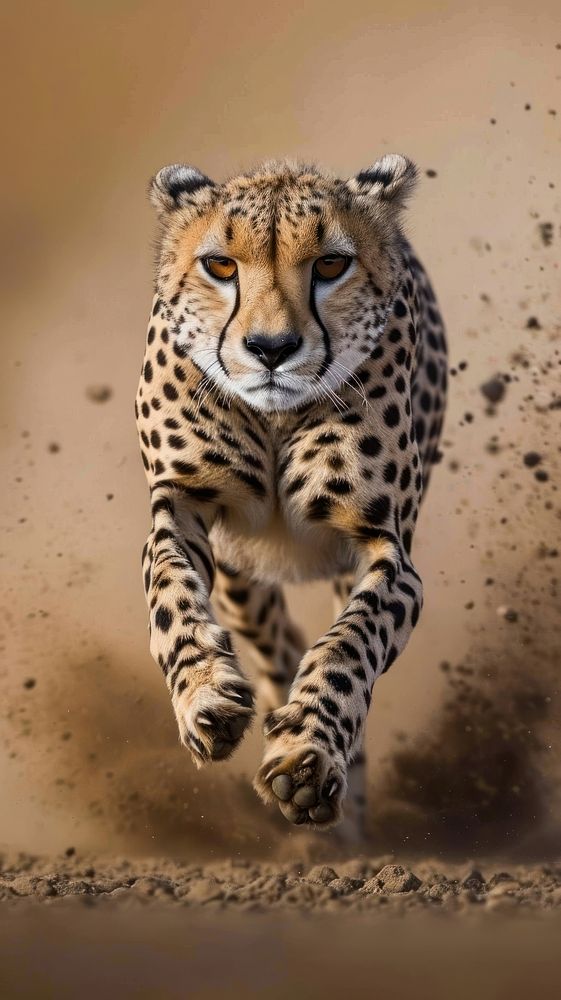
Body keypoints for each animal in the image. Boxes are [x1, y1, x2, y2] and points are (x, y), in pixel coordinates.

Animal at [135, 154, 447, 836]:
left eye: (330, 265)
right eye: (220, 265)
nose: (271, 349)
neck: (277, 417)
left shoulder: (382, 546)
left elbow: (350, 643)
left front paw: (306, 757)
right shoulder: (182, 503)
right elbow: (170, 590)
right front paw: (206, 695)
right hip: (240, 578)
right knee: (276, 646)